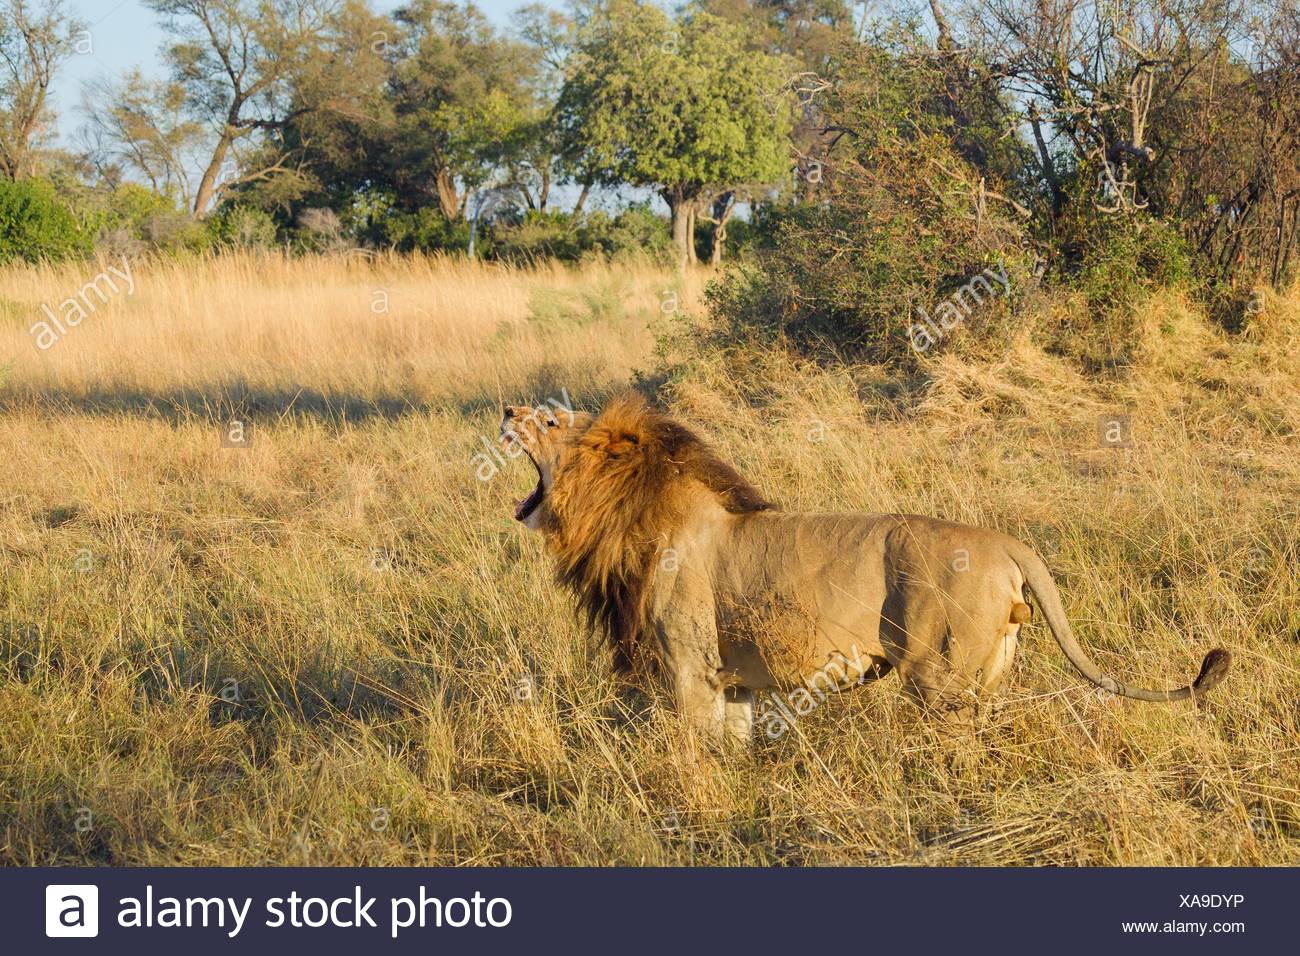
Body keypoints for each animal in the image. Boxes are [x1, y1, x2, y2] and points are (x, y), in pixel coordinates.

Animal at [500, 394, 1230, 744]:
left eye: (551, 419)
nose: (506, 411)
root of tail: (1004, 544)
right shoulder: (733, 683)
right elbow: (732, 750)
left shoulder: (689, 669)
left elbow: (694, 753)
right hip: (989, 672)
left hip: (940, 679)